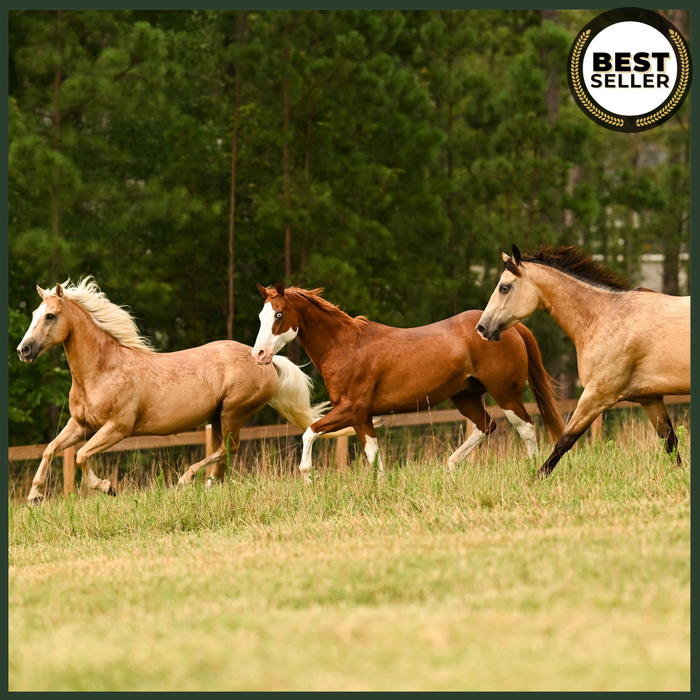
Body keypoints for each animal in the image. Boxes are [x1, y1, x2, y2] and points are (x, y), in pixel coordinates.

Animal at [16, 278, 333, 504]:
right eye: (34, 313)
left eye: (50, 316)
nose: (24, 350)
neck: (103, 369)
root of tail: (266, 360)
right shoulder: (81, 424)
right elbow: (50, 449)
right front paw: (34, 497)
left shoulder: (117, 428)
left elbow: (81, 456)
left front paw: (107, 488)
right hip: (218, 417)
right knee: (223, 455)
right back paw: (207, 487)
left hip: (233, 412)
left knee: (228, 448)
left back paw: (186, 480)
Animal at [251, 281, 564, 482]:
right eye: (260, 315)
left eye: (278, 314)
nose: (259, 354)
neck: (345, 347)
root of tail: (510, 328)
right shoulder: (362, 418)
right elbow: (374, 458)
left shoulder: (350, 410)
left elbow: (309, 433)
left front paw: (308, 478)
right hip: (466, 396)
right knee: (485, 426)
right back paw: (449, 469)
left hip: (505, 394)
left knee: (526, 428)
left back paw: (533, 473)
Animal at [476, 244, 690, 477]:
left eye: (504, 287)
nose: (481, 328)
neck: (604, 317)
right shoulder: (650, 399)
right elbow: (670, 442)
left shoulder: (596, 396)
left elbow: (565, 441)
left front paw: (536, 479)